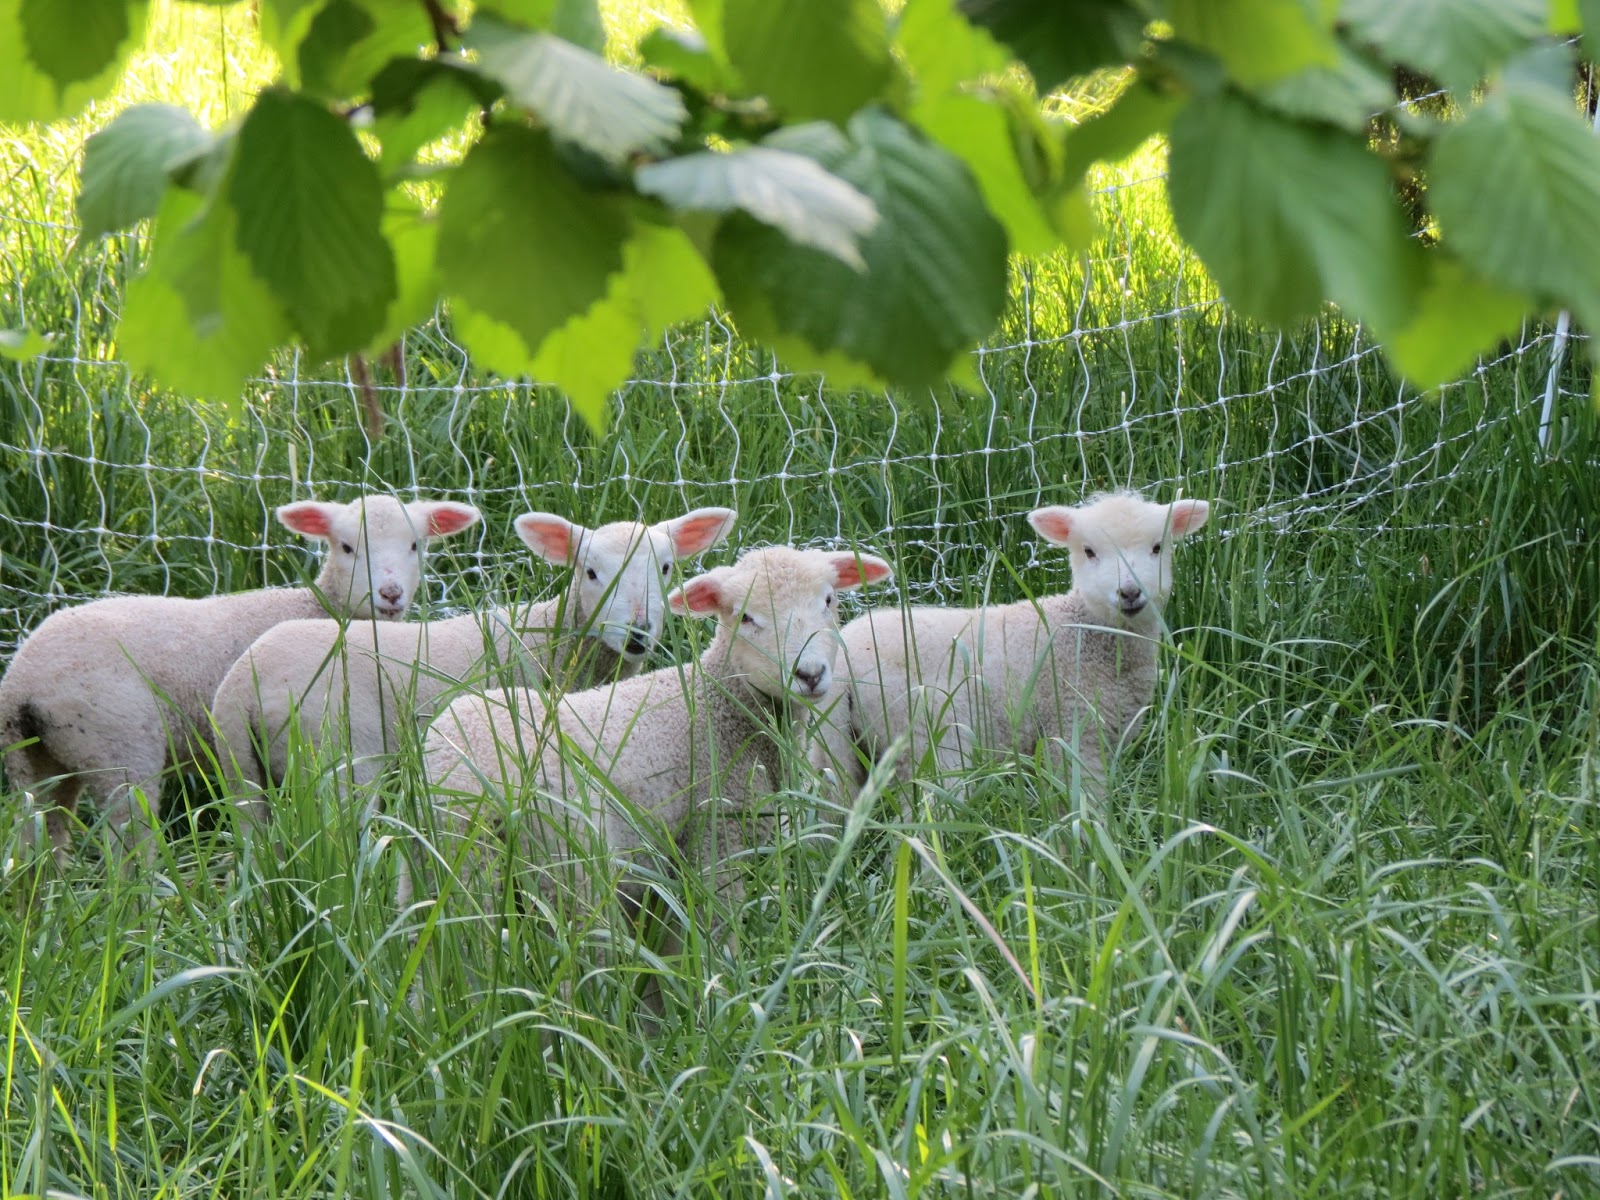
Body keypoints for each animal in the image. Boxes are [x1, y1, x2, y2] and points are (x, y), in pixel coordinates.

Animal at [0, 494, 480, 866]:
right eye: (346, 547)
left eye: (415, 545)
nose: (391, 594)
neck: (318, 605)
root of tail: (22, 681)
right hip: (118, 745)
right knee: (130, 847)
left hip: (37, 761)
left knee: (36, 842)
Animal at [211, 507, 737, 794]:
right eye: (590, 572)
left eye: (666, 568)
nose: (638, 635)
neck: (553, 636)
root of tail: (237, 689)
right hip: (338, 756)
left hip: (246, 778)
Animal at [401, 544, 893, 933]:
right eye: (747, 618)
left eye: (828, 600)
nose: (809, 674)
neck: (716, 707)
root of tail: (456, 773)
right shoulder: (716, 838)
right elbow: (718, 934)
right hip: (565, 865)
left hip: (430, 872)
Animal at [808, 491, 1210, 805]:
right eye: (1089, 552)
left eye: (1158, 548)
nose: (1129, 592)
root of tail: (844, 661)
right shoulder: (1072, 725)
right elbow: (1083, 796)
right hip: (928, 735)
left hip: (839, 739)